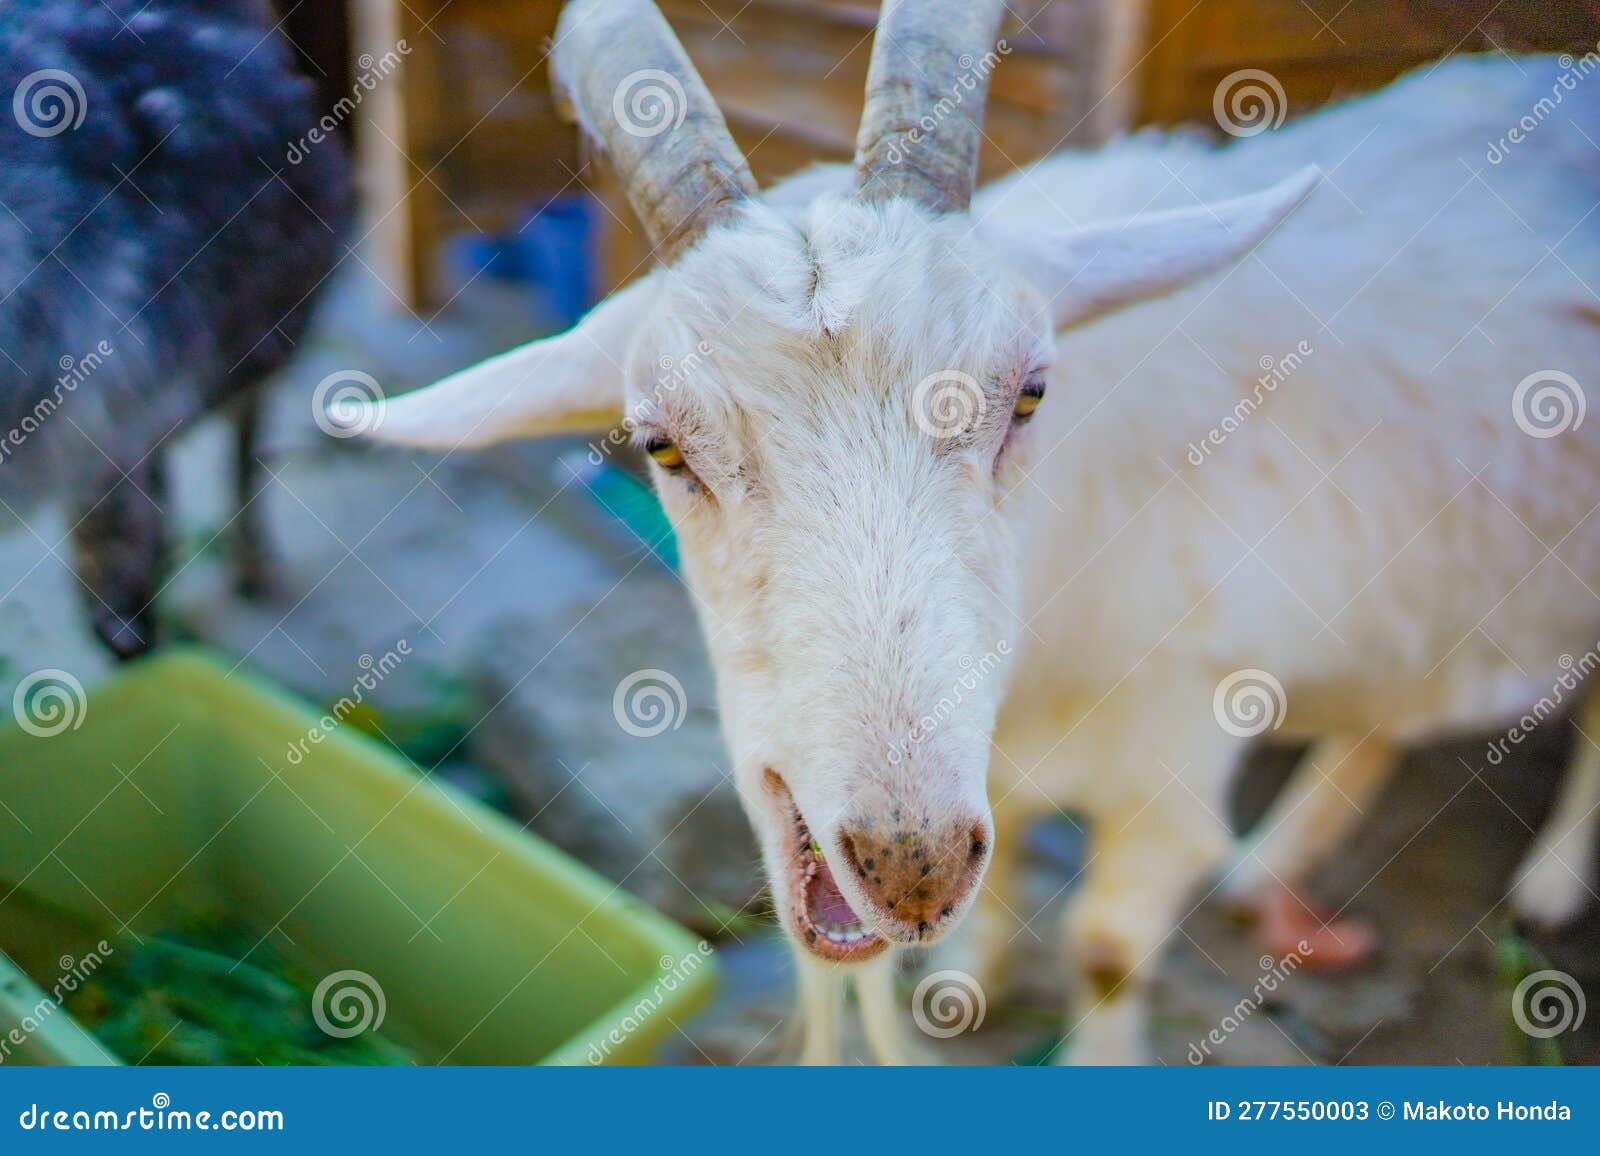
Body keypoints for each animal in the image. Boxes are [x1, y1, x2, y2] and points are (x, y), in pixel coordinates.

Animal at [345, 0, 1600, 1063]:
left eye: (1030, 395)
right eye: (658, 446)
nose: (906, 862)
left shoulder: (1173, 751)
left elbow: (1104, 949)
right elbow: (1000, 885)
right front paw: (965, 990)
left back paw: (1548, 882)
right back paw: (1273, 861)